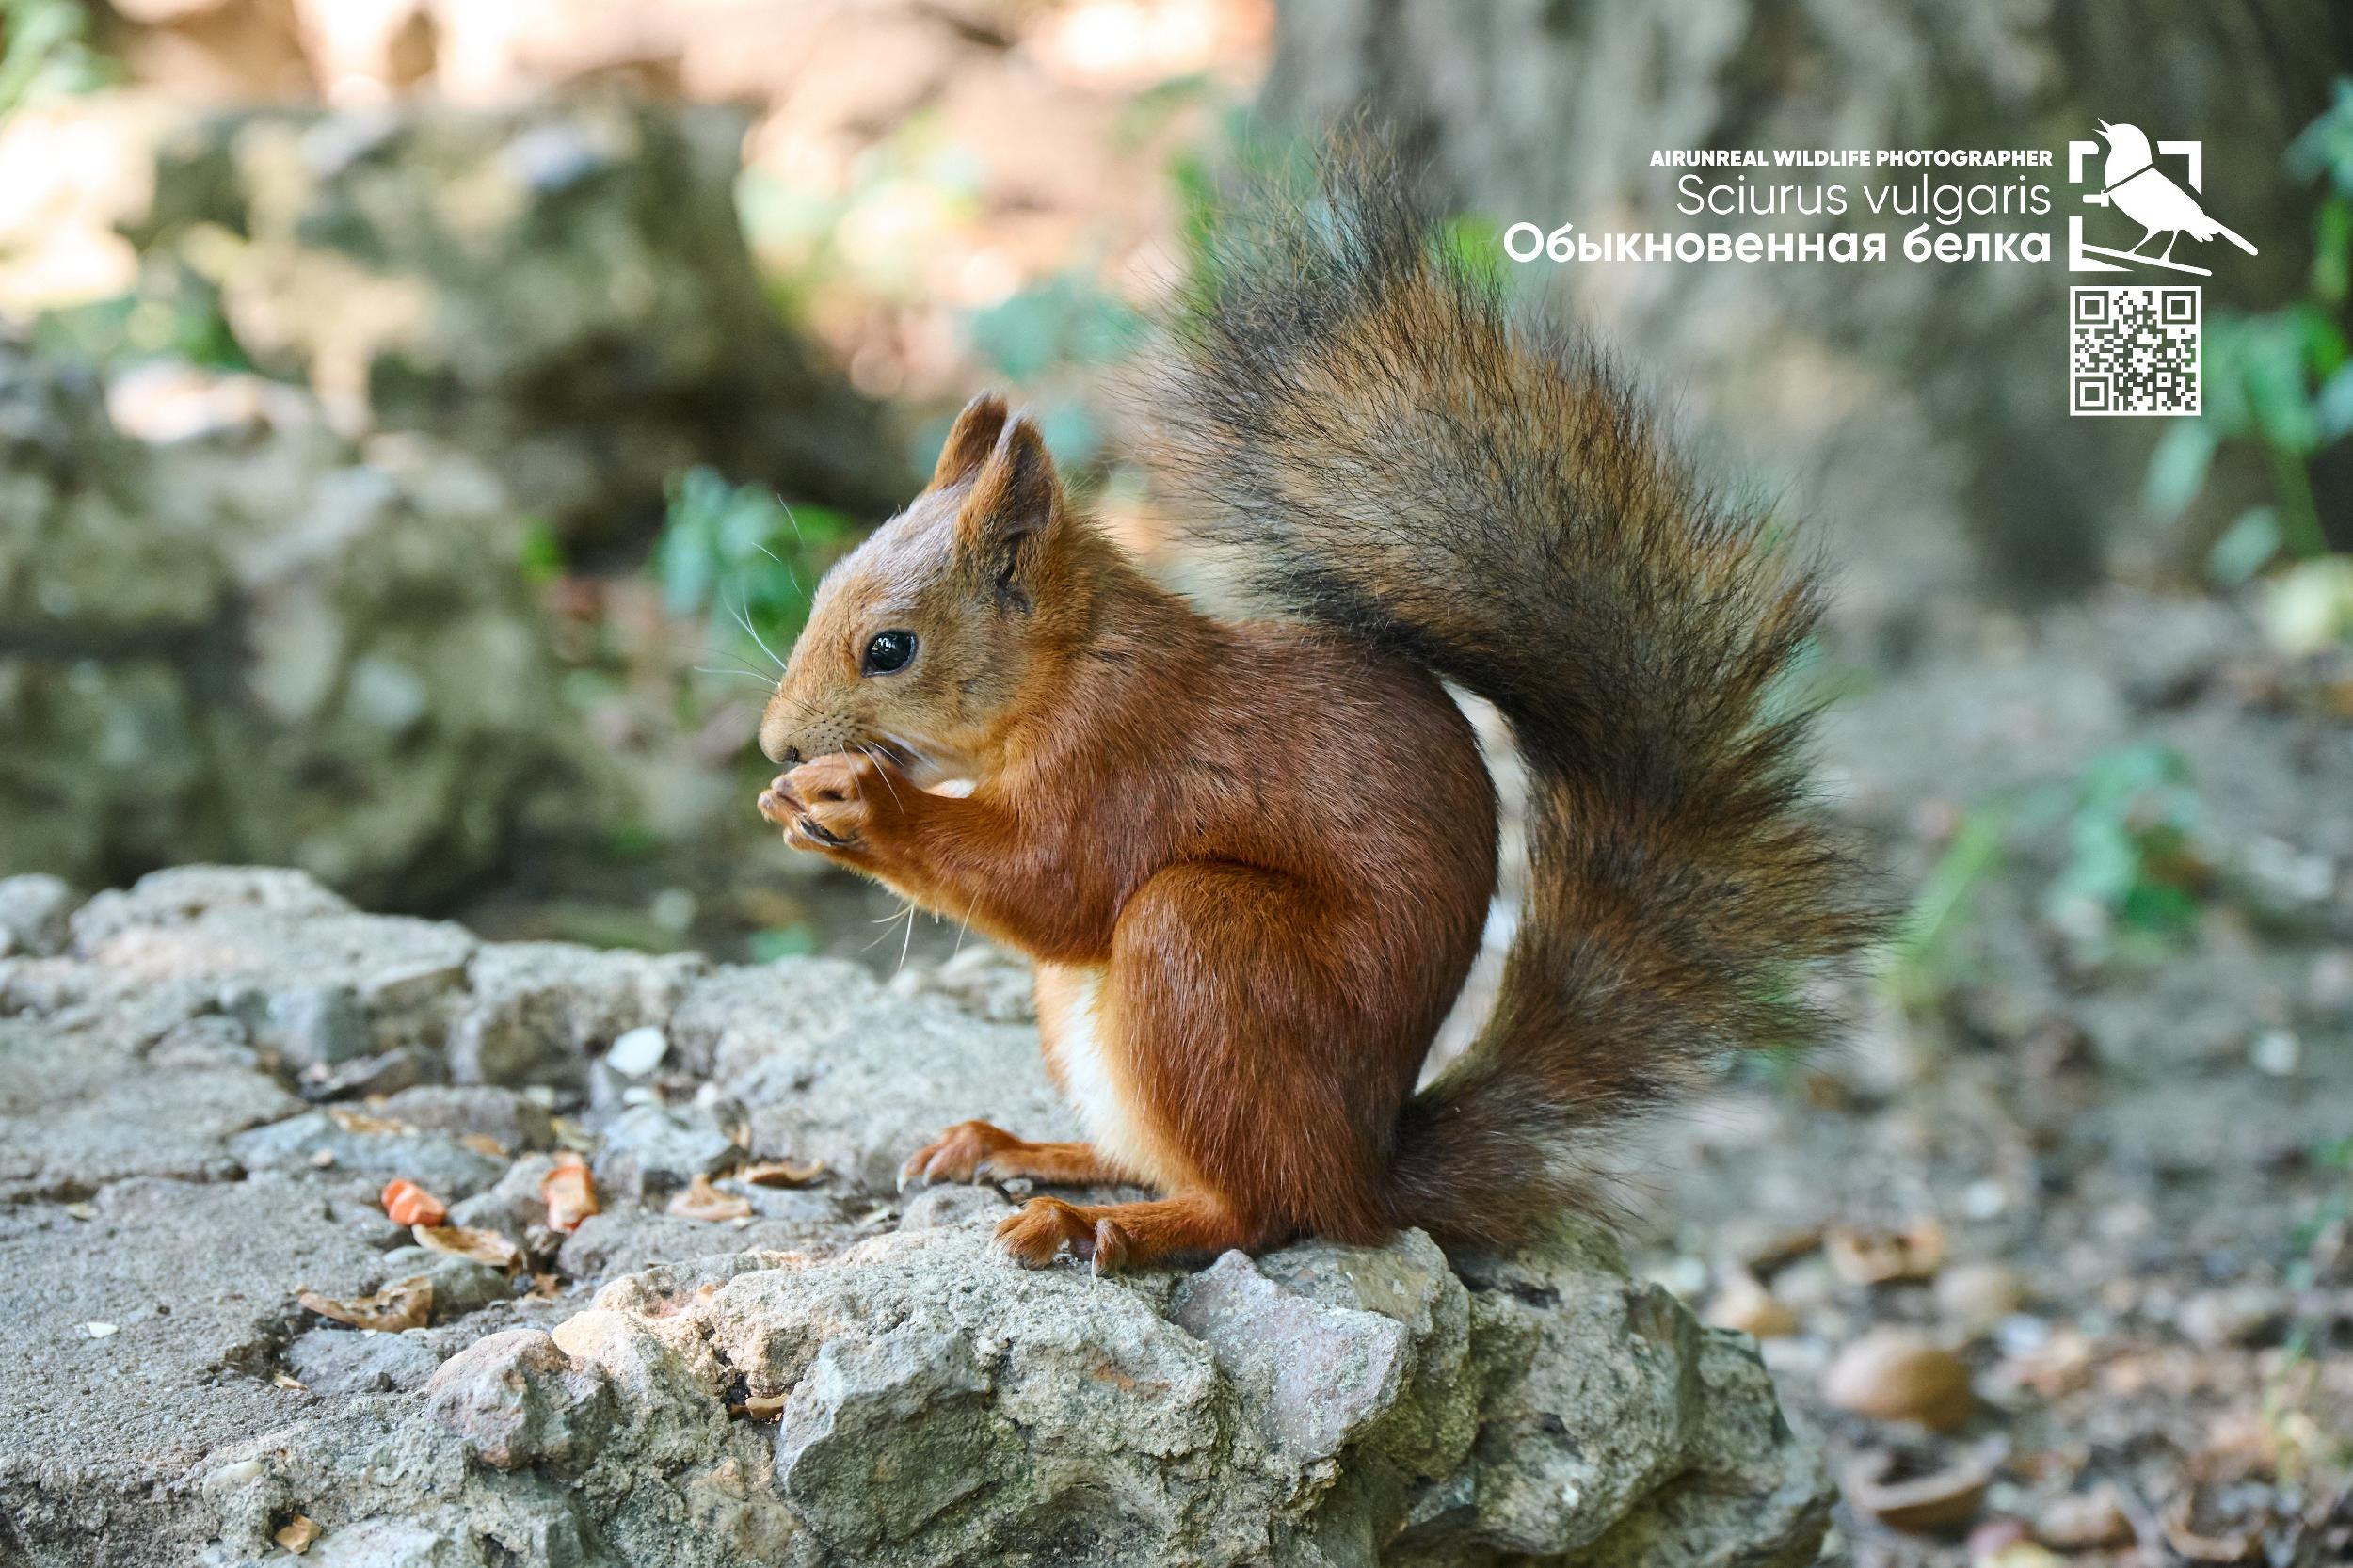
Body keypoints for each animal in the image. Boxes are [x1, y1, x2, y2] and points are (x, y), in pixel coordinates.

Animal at [754, 156, 1881, 1272]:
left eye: (889, 649)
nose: (776, 742)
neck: (1074, 668)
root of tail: (1369, 1170)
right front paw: (793, 800)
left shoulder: (1128, 754)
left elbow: (1054, 884)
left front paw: (859, 801)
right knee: (1156, 1157)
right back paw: (1019, 1149)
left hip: (1205, 945)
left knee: (1261, 1209)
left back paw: (1102, 1224)